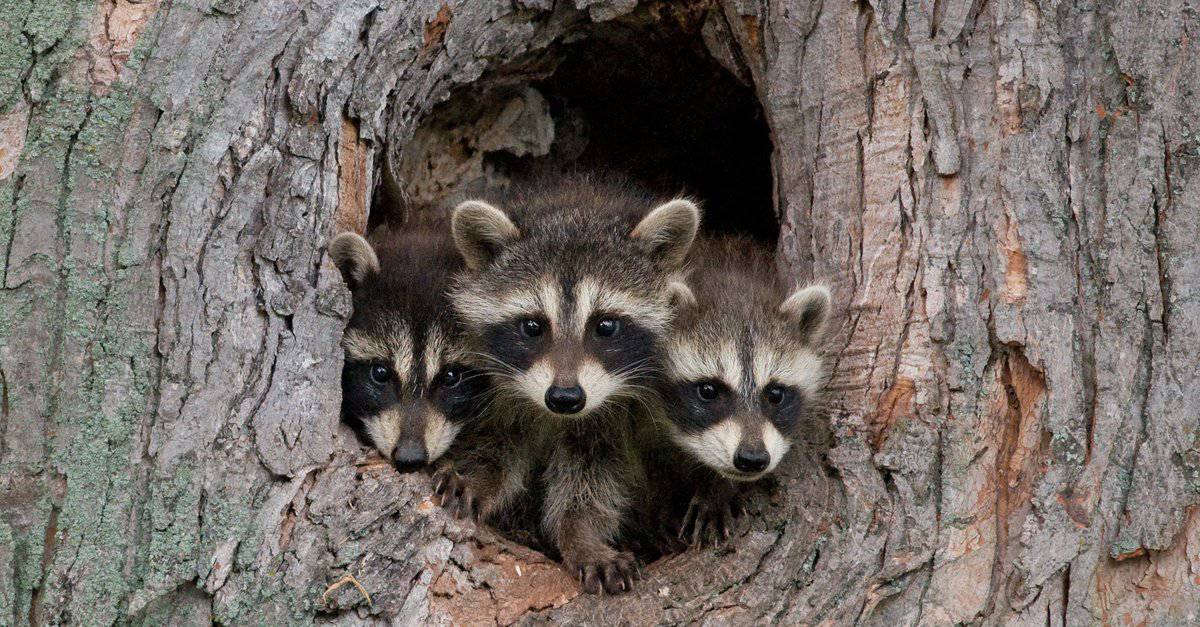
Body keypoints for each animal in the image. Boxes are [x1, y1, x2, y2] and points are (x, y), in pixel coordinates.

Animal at [441, 174, 700, 594]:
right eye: (532, 326)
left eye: (605, 326)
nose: (564, 397)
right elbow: (497, 441)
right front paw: (479, 477)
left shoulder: (611, 414)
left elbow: (592, 479)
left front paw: (581, 536)